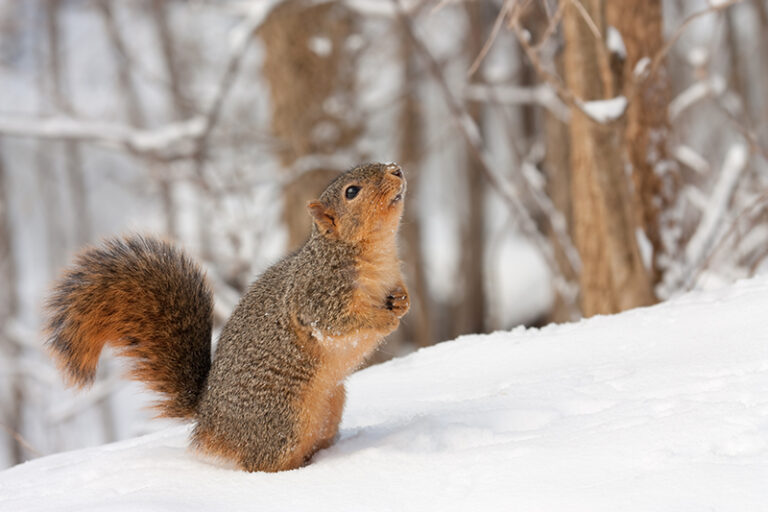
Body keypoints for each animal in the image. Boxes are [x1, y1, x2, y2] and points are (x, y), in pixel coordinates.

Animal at [44, 162, 409, 472]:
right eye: (352, 192)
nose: (396, 169)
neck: (375, 252)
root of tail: (208, 418)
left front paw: (402, 303)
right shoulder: (317, 296)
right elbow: (336, 322)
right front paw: (383, 320)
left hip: (331, 406)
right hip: (282, 420)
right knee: (262, 463)